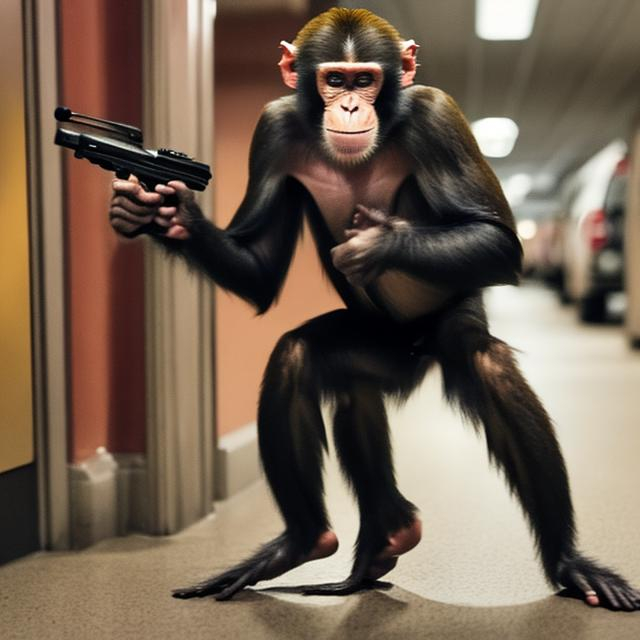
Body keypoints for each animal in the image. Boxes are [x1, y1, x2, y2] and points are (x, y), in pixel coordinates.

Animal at [108, 8, 640, 609]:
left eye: (365, 79)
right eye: (334, 79)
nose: (348, 105)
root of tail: (417, 353)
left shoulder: (438, 114)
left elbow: (501, 241)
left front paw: (378, 243)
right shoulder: (271, 130)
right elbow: (261, 270)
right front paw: (161, 211)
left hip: (445, 329)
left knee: (484, 363)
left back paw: (569, 565)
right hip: (380, 351)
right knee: (315, 366)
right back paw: (346, 542)